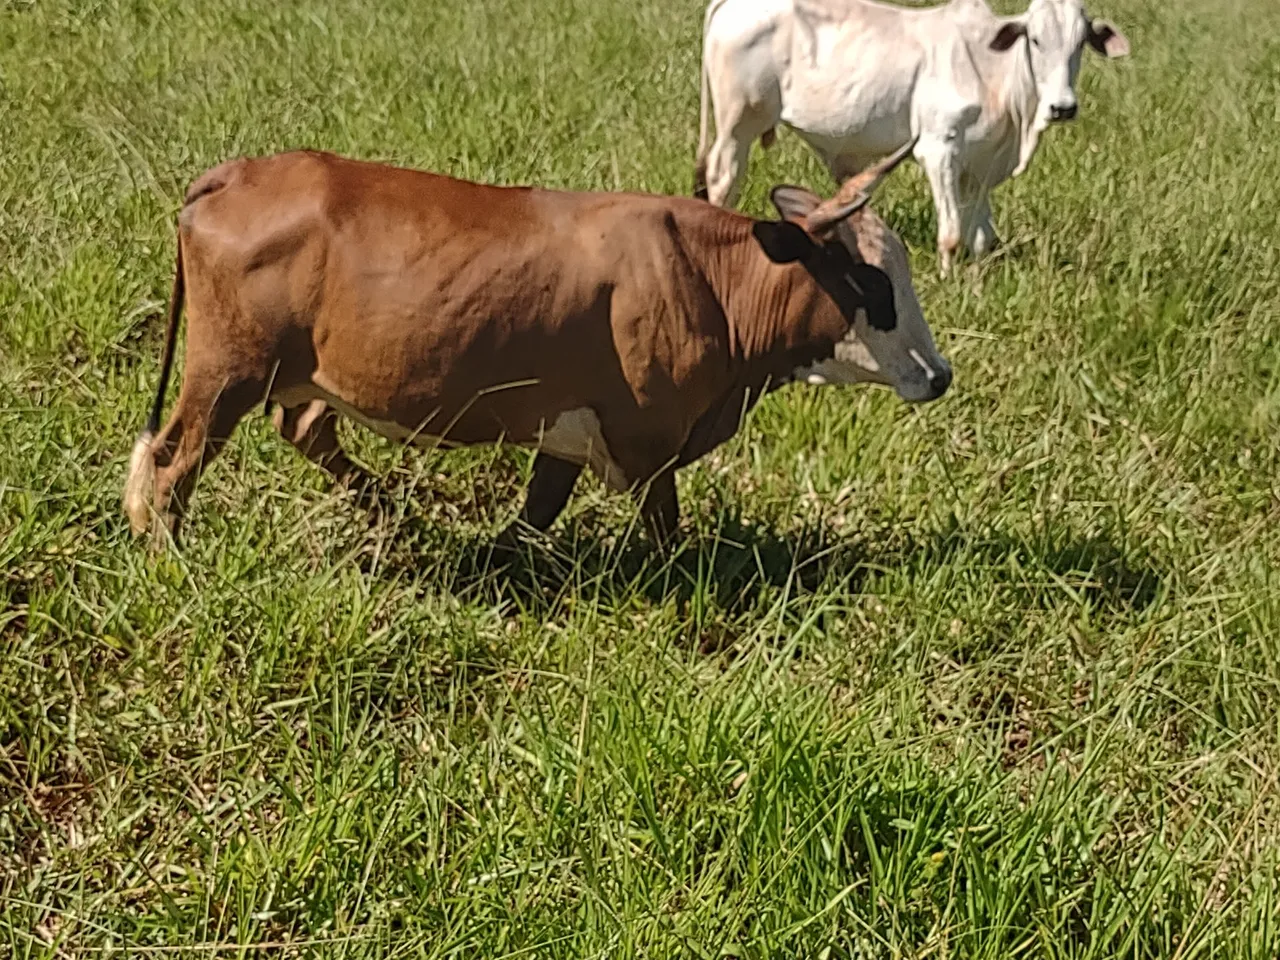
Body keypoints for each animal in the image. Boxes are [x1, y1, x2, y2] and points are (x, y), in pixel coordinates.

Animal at [122, 144, 950, 555]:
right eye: (872, 280)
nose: (939, 374)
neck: (707, 275)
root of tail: (239, 174)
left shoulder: (568, 432)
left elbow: (535, 514)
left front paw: (497, 563)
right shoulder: (648, 435)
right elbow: (666, 533)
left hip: (294, 374)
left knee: (305, 428)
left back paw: (394, 514)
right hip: (225, 372)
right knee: (170, 464)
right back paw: (172, 559)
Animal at [694, 0, 1130, 272]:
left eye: (1080, 44)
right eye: (1035, 40)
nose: (1063, 107)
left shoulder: (981, 164)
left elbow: (981, 235)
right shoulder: (939, 149)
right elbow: (951, 233)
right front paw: (948, 280)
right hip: (737, 125)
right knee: (723, 180)